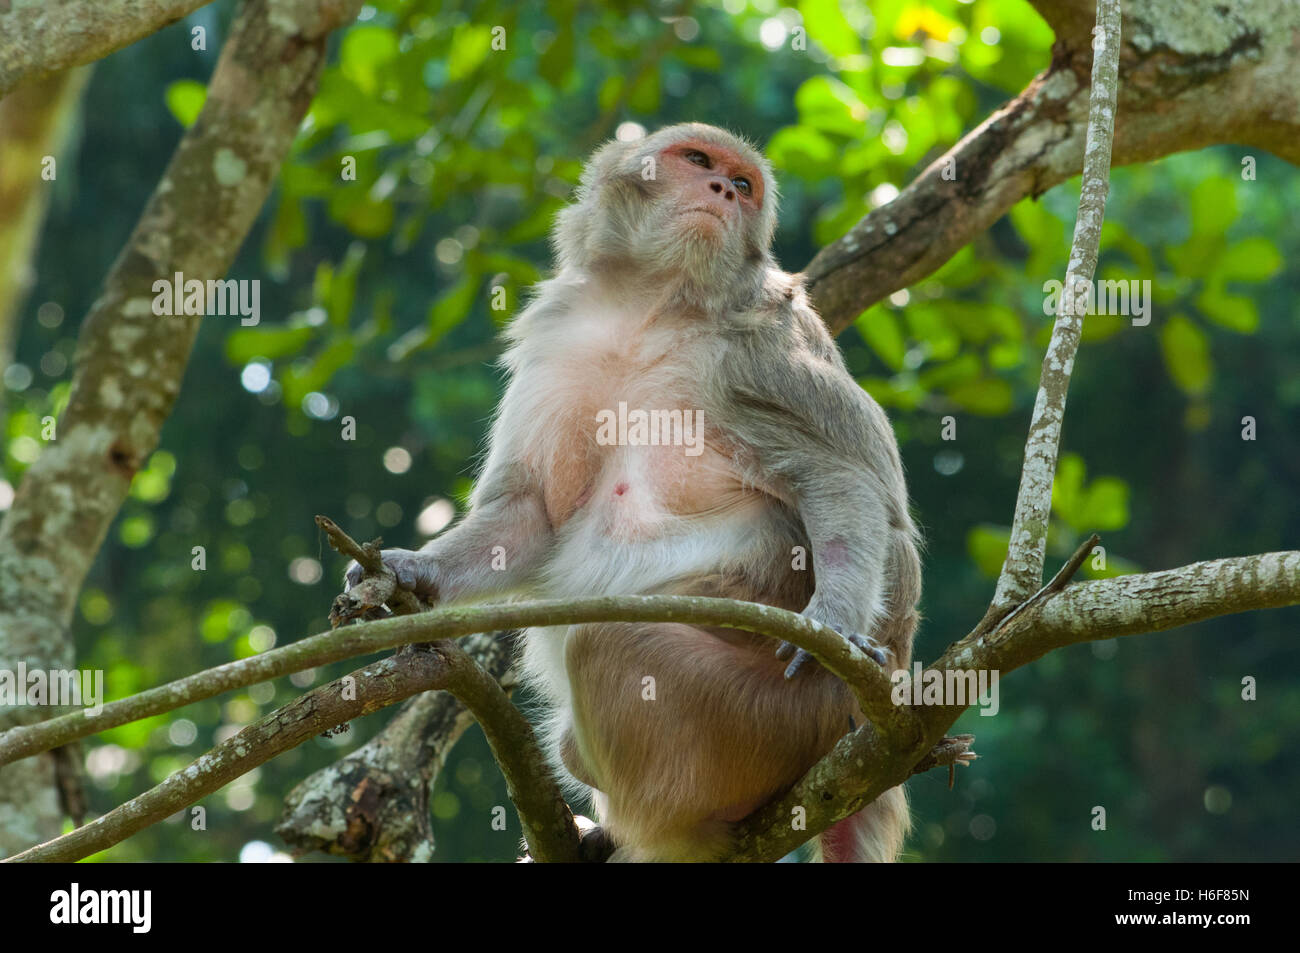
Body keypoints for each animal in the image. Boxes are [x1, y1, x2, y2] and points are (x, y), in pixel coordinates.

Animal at [348, 123, 921, 862]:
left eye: (744, 186)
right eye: (699, 161)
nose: (722, 190)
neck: (653, 308)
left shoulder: (758, 351)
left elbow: (842, 477)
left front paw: (835, 623)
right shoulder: (562, 334)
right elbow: (530, 515)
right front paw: (407, 570)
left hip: (773, 721)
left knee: (606, 642)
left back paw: (672, 832)